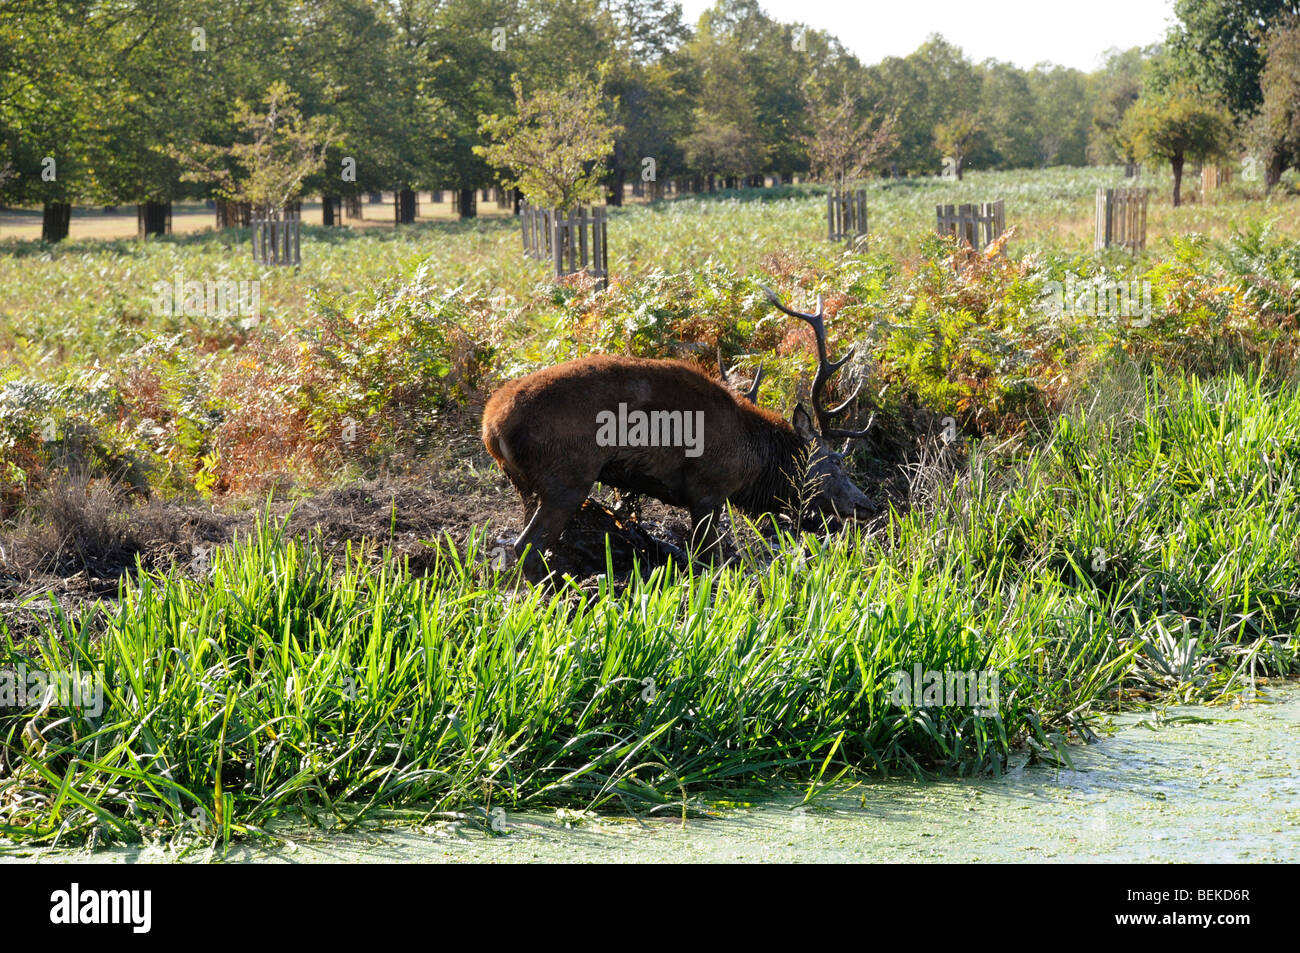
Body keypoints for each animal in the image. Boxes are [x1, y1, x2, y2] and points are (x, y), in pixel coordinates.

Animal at [481, 285, 878, 578]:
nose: (867, 505)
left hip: (526, 485)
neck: (752, 460)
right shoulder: (707, 489)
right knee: (526, 547)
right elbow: (710, 557)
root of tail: (492, 426)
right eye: (835, 463)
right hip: (567, 478)